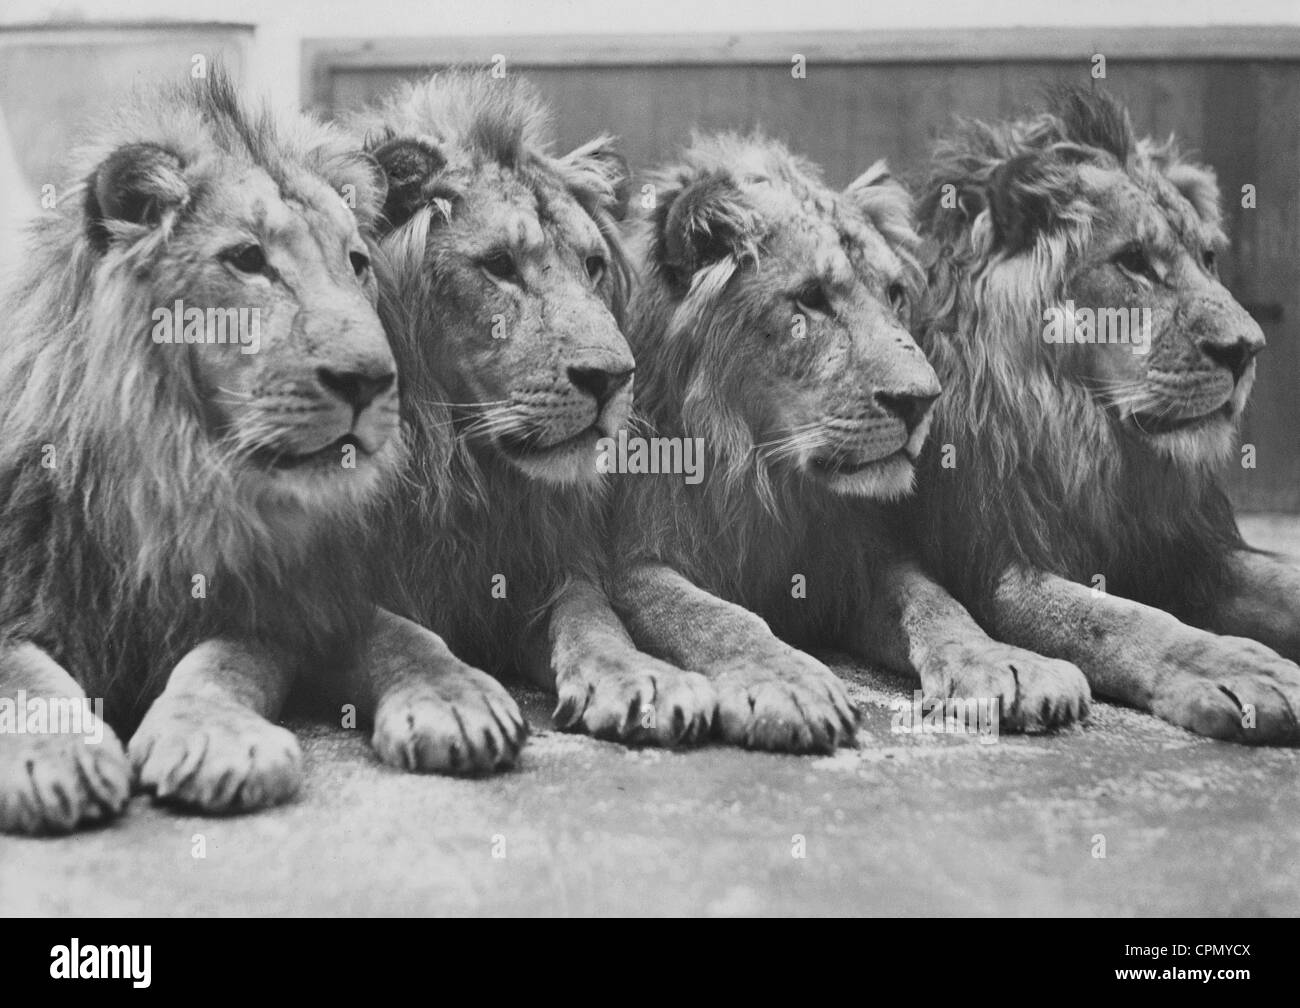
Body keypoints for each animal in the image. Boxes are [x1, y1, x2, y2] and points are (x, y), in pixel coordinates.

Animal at [0, 70, 523, 836]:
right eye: (248, 260)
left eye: (357, 264)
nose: (374, 379)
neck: (167, 477)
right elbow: (19, 672)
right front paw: (53, 757)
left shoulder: (272, 599)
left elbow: (233, 661)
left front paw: (219, 740)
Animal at [358, 71, 713, 747]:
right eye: (499, 265)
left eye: (593, 266)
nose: (613, 377)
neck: (464, 469)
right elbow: (393, 632)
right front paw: (450, 697)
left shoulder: (543, 565)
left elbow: (591, 614)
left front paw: (639, 678)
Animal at [608, 133, 1090, 754]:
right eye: (809, 300)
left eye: (894, 294)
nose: (922, 400)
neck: (761, 476)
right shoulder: (626, 560)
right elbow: (713, 616)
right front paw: (791, 684)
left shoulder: (855, 556)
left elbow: (937, 603)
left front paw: (1003, 663)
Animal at [912, 86, 1300, 743]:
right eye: (1133, 261)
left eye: (1209, 258)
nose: (1248, 349)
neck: (1091, 438)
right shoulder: (999, 565)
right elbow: (1125, 620)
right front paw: (1240, 670)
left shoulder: (1183, 547)